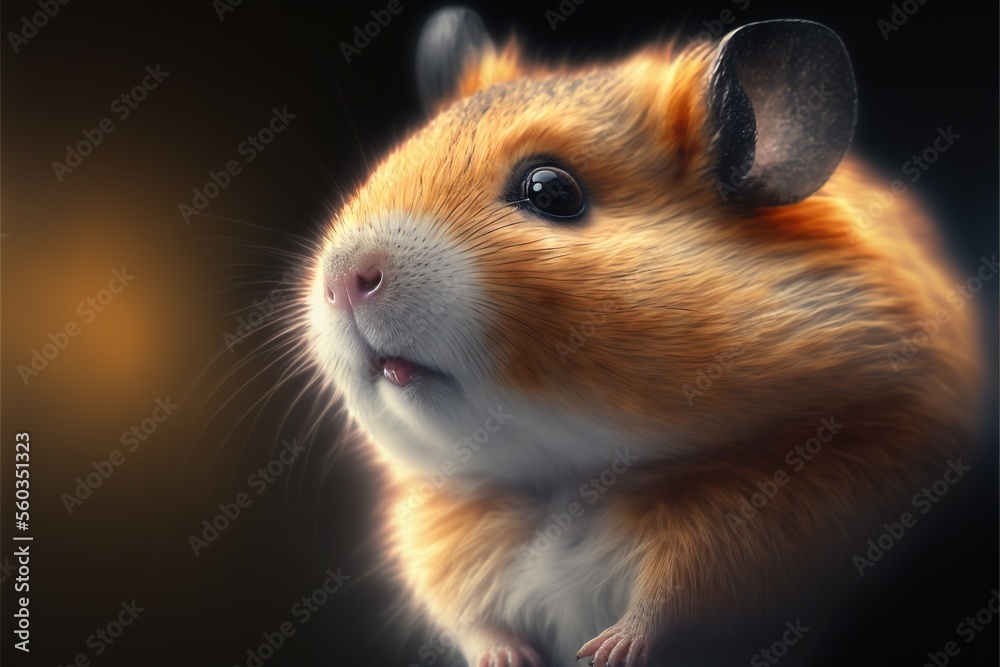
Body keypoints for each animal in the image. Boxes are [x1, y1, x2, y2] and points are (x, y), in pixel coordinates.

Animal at [304, 8, 985, 666]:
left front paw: (606, 652)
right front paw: (508, 659)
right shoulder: (440, 553)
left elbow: (670, 605)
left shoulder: (766, 530)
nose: (344, 280)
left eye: (551, 191)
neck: (569, 484)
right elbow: (478, 625)